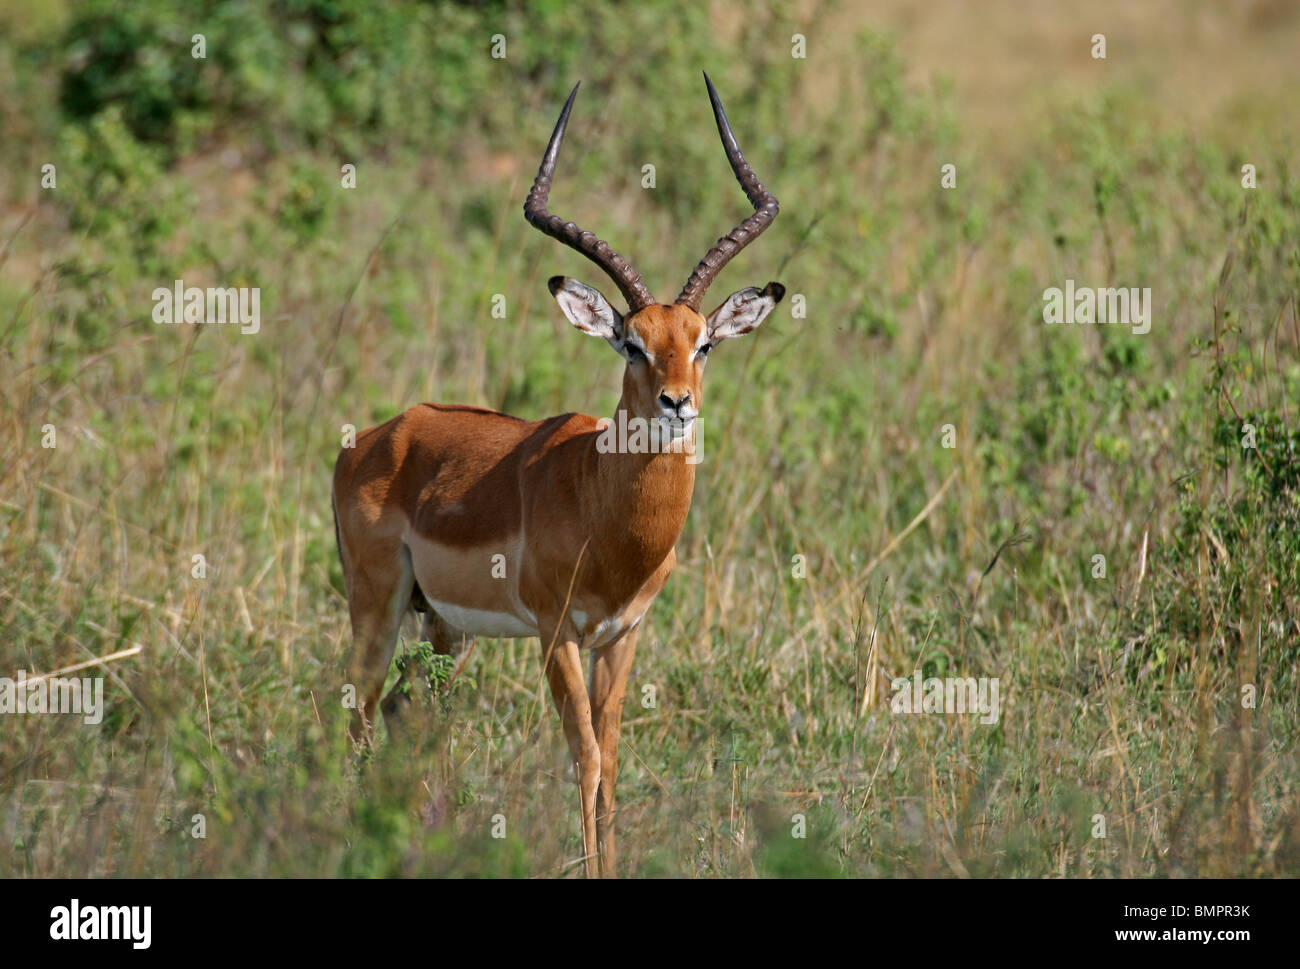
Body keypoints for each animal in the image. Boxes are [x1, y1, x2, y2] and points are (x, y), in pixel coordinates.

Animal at [332, 74, 783, 876]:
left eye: (702, 342)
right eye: (632, 343)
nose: (677, 403)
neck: (604, 511)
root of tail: (378, 438)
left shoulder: (621, 636)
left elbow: (613, 761)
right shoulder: (556, 633)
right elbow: (586, 758)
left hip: (444, 625)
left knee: (406, 715)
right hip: (377, 607)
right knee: (358, 715)